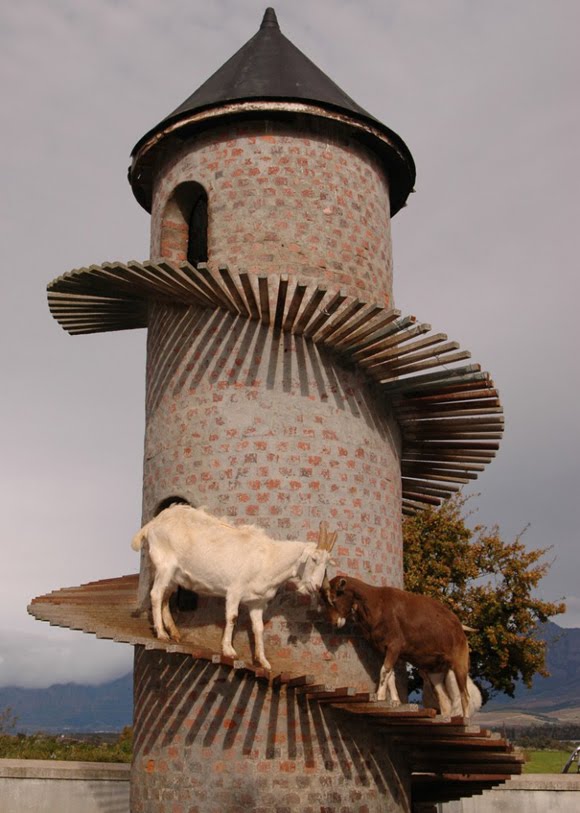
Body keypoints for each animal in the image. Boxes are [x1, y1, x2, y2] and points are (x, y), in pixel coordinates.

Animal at [132, 505, 337, 670]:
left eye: (327, 565)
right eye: (314, 559)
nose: (315, 586)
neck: (269, 558)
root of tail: (153, 524)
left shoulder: (257, 602)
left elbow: (259, 628)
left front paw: (263, 661)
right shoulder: (234, 590)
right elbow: (232, 618)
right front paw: (229, 650)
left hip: (175, 576)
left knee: (165, 597)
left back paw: (174, 632)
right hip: (165, 566)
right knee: (156, 594)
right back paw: (161, 633)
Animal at [321, 575, 481, 717]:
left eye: (333, 599)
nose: (333, 622)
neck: (377, 604)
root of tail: (458, 626)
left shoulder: (394, 645)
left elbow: (384, 671)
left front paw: (380, 697)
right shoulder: (383, 649)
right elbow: (390, 674)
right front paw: (395, 701)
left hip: (460, 663)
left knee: (465, 695)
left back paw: (466, 719)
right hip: (434, 670)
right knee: (445, 700)